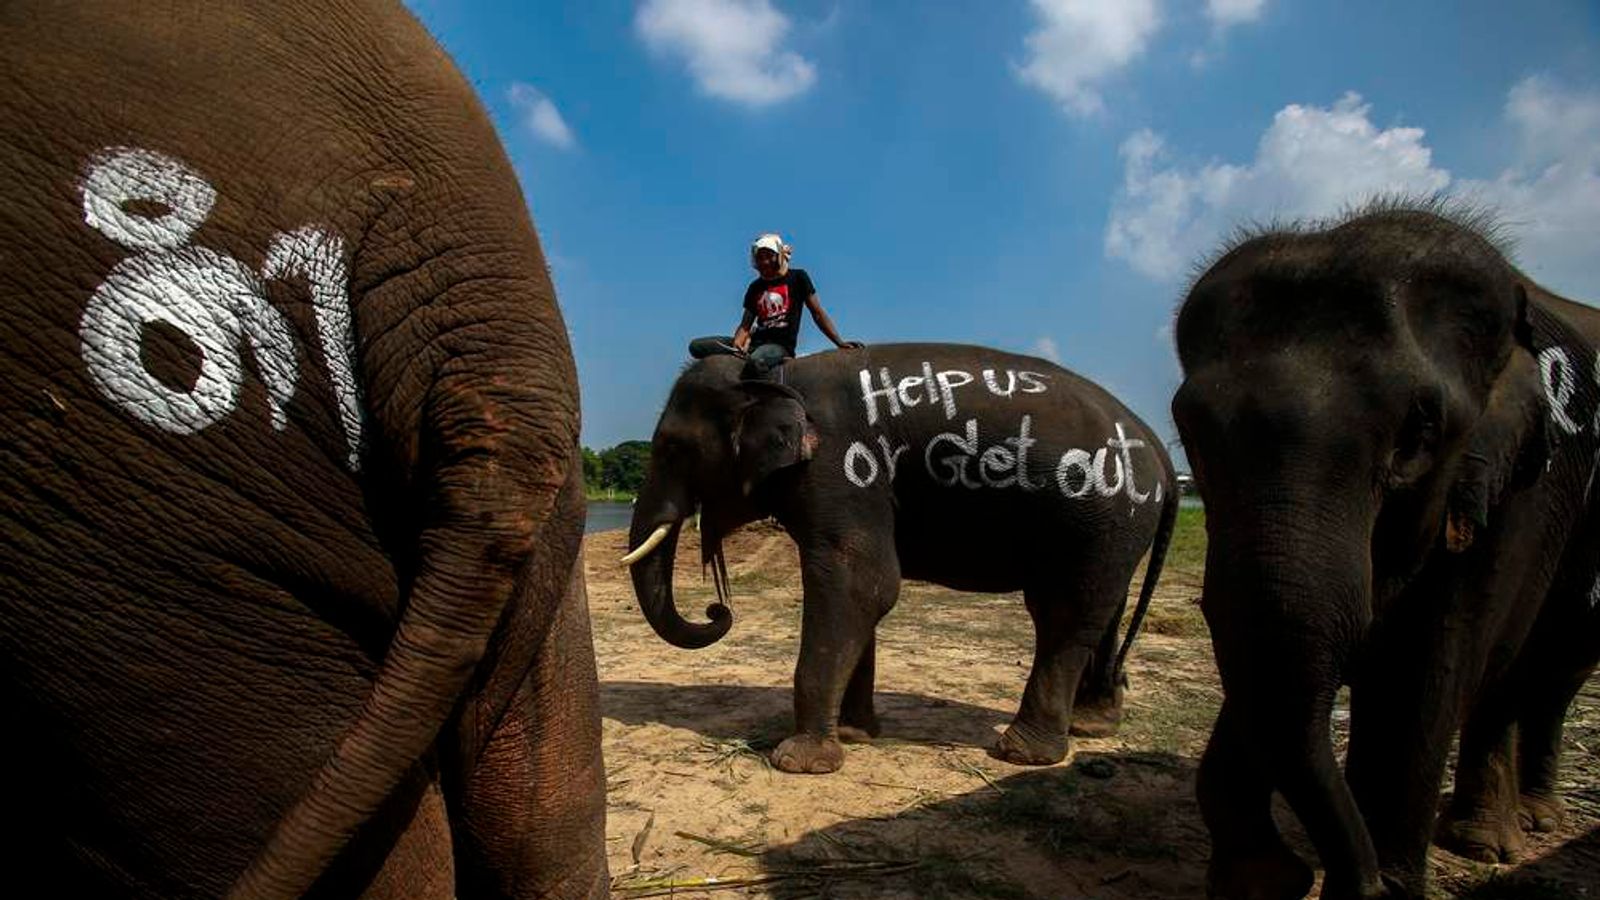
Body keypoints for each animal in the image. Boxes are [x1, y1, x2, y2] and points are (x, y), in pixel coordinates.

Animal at [622, 343, 1178, 774]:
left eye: (671, 449)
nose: (717, 610)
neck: (776, 375)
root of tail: (1156, 446)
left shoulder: (841, 467)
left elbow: (862, 584)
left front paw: (799, 762)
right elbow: (862, 595)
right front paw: (854, 734)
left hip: (1104, 508)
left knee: (1063, 614)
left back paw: (1022, 753)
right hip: (1115, 527)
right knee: (1104, 612)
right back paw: (1092, 724)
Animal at [1172, 200, 1600, 899]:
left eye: (1419, 434)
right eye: (1192, 433)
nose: (1362, 882)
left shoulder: (1522, 484)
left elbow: (1429, 667)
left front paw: (1380, 890)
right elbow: (1265, 652)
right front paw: (1266, 880)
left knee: (1541, 665)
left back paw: (1501, 836)